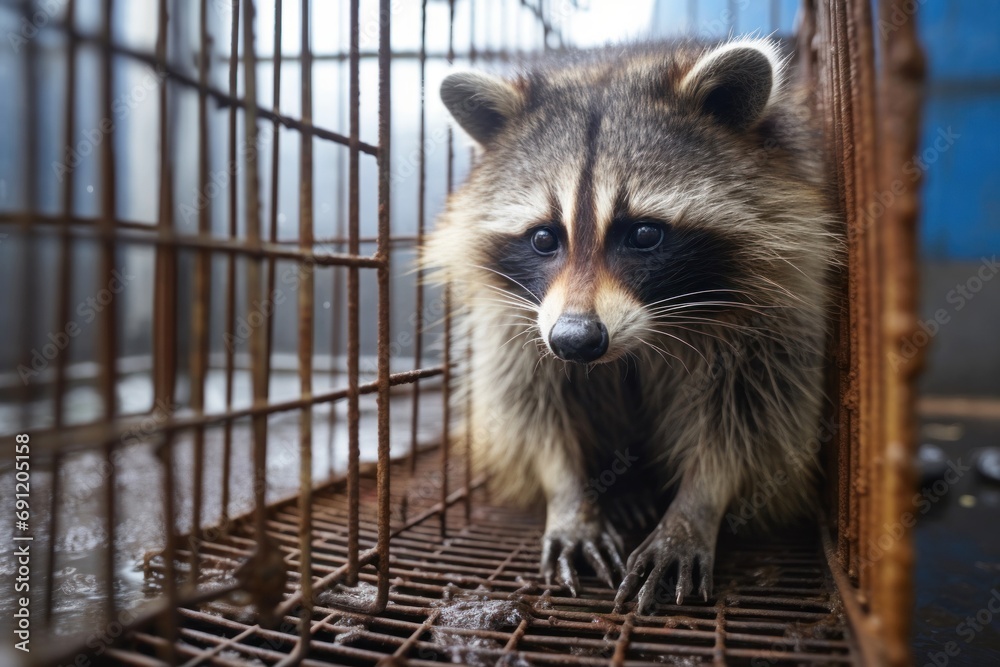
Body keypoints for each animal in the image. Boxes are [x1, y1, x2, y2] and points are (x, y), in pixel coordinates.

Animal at [421, 37, 838, 613]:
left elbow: (751, 419)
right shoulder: (514, 322)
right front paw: (568, 494)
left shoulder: (779, 310)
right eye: (544, 238)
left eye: (643, 234)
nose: (575, 341)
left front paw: (695, 508)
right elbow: (531, 409)